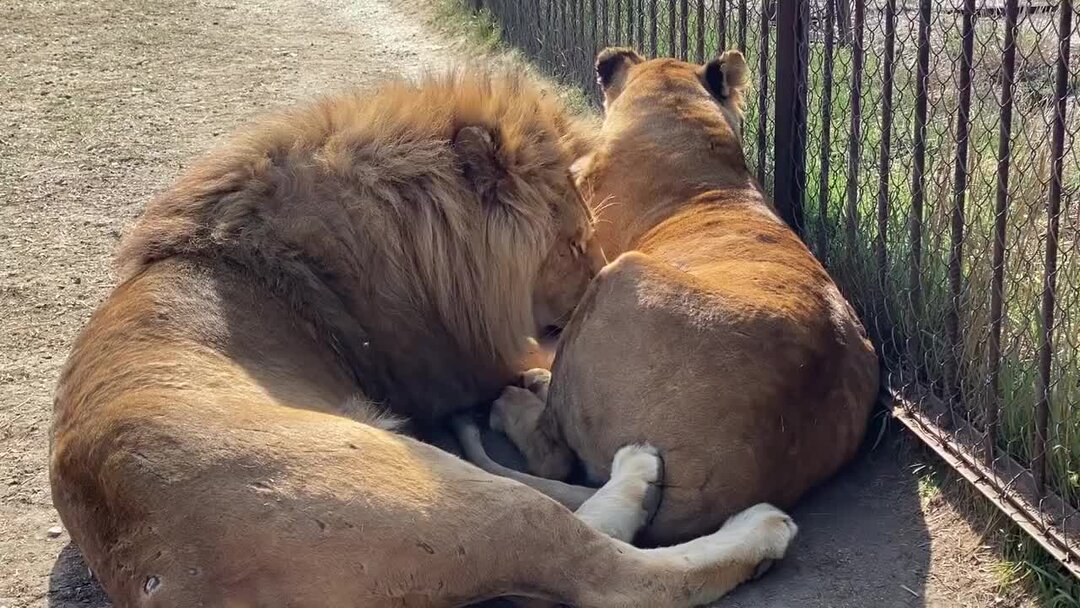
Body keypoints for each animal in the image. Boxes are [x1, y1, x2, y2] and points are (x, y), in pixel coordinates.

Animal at [50, 67, 794, 608]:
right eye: (574, 240)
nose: (597, 286)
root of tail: (161, 578)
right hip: (426, 497)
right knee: (605, 569)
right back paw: (720, 509)